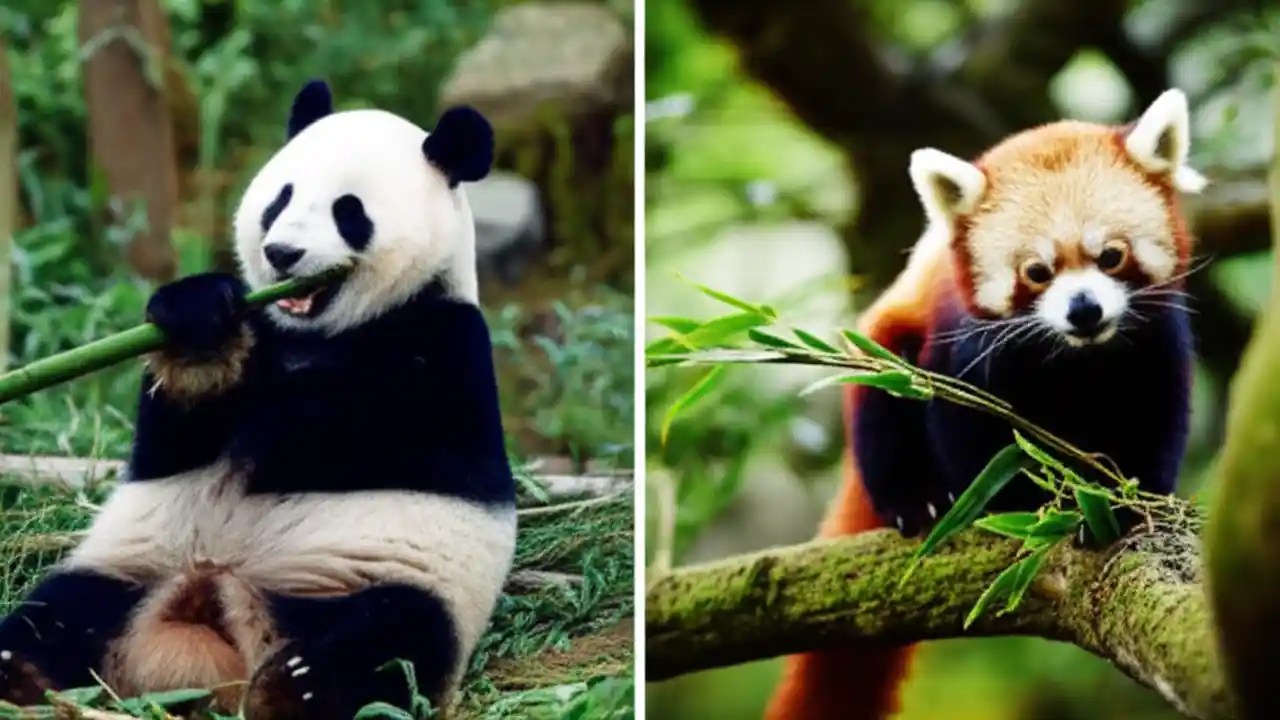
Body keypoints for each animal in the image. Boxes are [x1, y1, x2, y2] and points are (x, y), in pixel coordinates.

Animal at [0, 80, 516, 719]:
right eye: (280, 198)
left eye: (349, 211)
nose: (283, 254)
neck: (312, 331)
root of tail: (209, 602)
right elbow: (174, 439)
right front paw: (199, 318)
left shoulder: (445, 346)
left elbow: (342, 436)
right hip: (128, 570)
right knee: (57, 610)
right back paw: (18, 670)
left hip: (384, 580)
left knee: (395, 639)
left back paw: (299, 684)